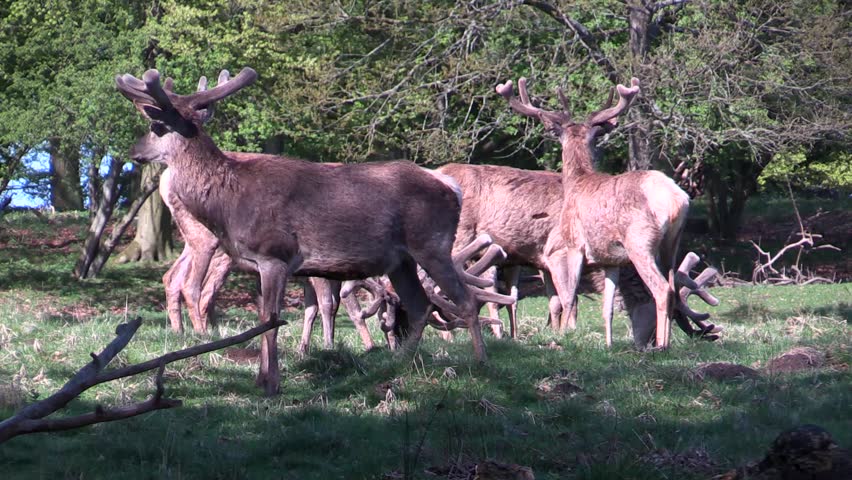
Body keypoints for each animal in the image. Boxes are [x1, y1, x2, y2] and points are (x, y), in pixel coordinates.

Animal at [116, 66, 504, 395]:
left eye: (156, 127)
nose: (133, 151)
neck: (229, 201)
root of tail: (451, 187)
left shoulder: (275, 254)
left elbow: (271, 318)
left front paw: (272, 383)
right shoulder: (260, 263)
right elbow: (267, 317)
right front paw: (261, 379)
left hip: (432, 243)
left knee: (465, 300)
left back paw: (481, 363)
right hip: (402, 261)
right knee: (420, 306)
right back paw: (399, 364)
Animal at [438, 163, 720, 346]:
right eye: (653, 319)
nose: (647, 342)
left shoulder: (540, 262)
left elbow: (551, 302)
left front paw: (546, 333)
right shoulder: (555, 253)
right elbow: (568, 301)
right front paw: (564, 335)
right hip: (460, 239)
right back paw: (448, 335)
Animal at [496, 77, 692, 348]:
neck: (577, 182)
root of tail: (676, 199)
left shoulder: (572, 244)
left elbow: (569, 298)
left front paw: (565, 336)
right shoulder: (610, 259)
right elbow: (607, 306)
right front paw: (608, 344)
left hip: (640, 241)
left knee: (662, 290)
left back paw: (661, 345)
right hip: (672, 245)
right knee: (673, 287)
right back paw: (666, 341)